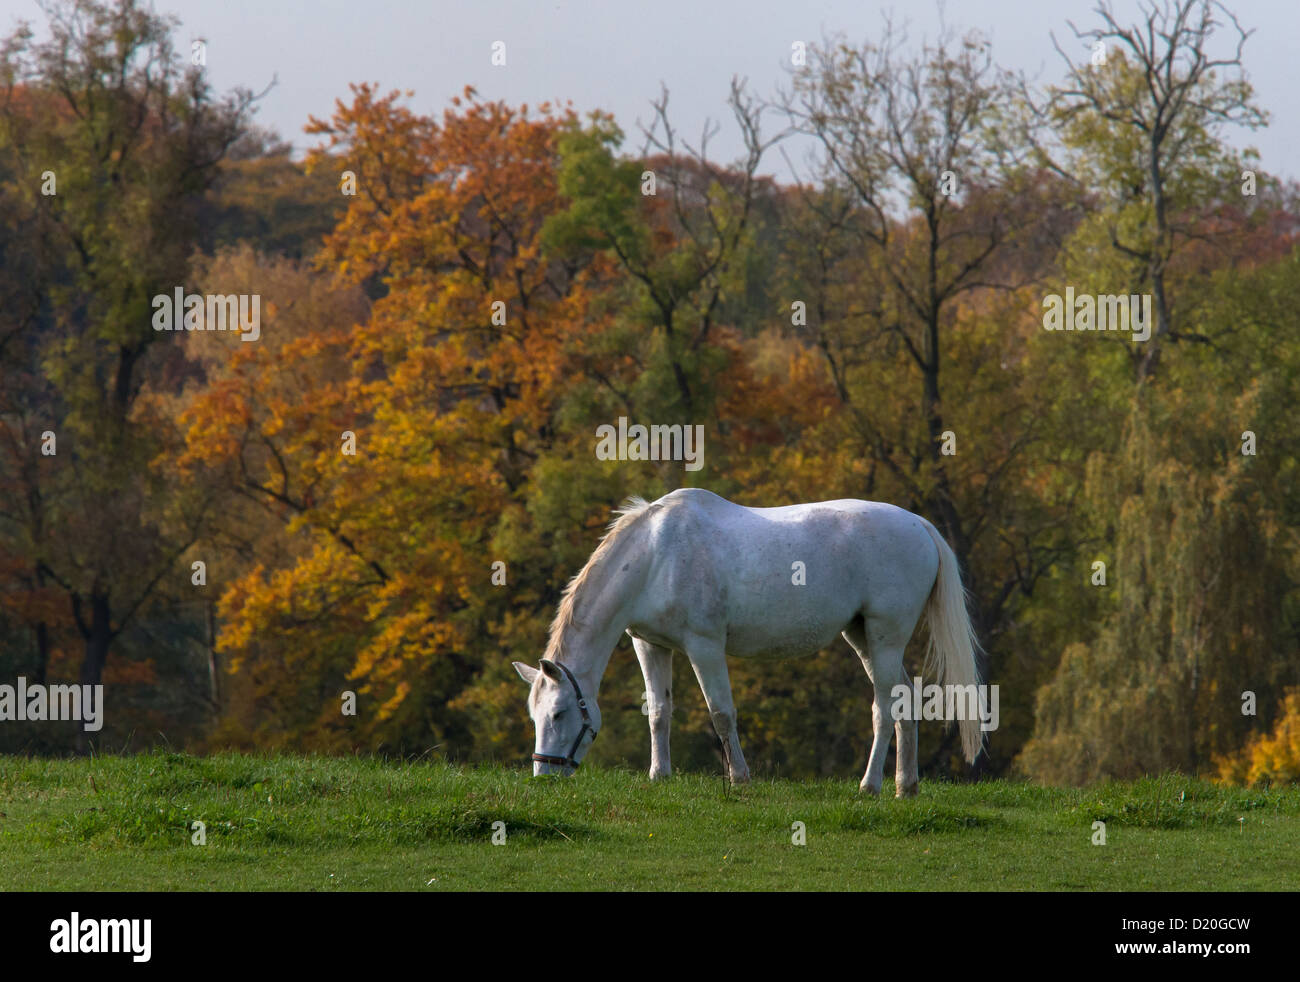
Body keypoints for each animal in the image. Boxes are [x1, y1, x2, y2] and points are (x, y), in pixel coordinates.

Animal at [514, 488, 983, 795]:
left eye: (558, 714)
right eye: (534, 716)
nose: (544, 777)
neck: (655, 555)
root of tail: (918, 524)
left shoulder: (704, 647)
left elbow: (722, 714)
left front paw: (740, 779)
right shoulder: (650, 645)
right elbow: (659, 713)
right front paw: (659, 776)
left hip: (885, 638)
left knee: (883, 708)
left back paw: (870, 786)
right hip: (863, 636)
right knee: (905, 701)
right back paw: (906, 785)